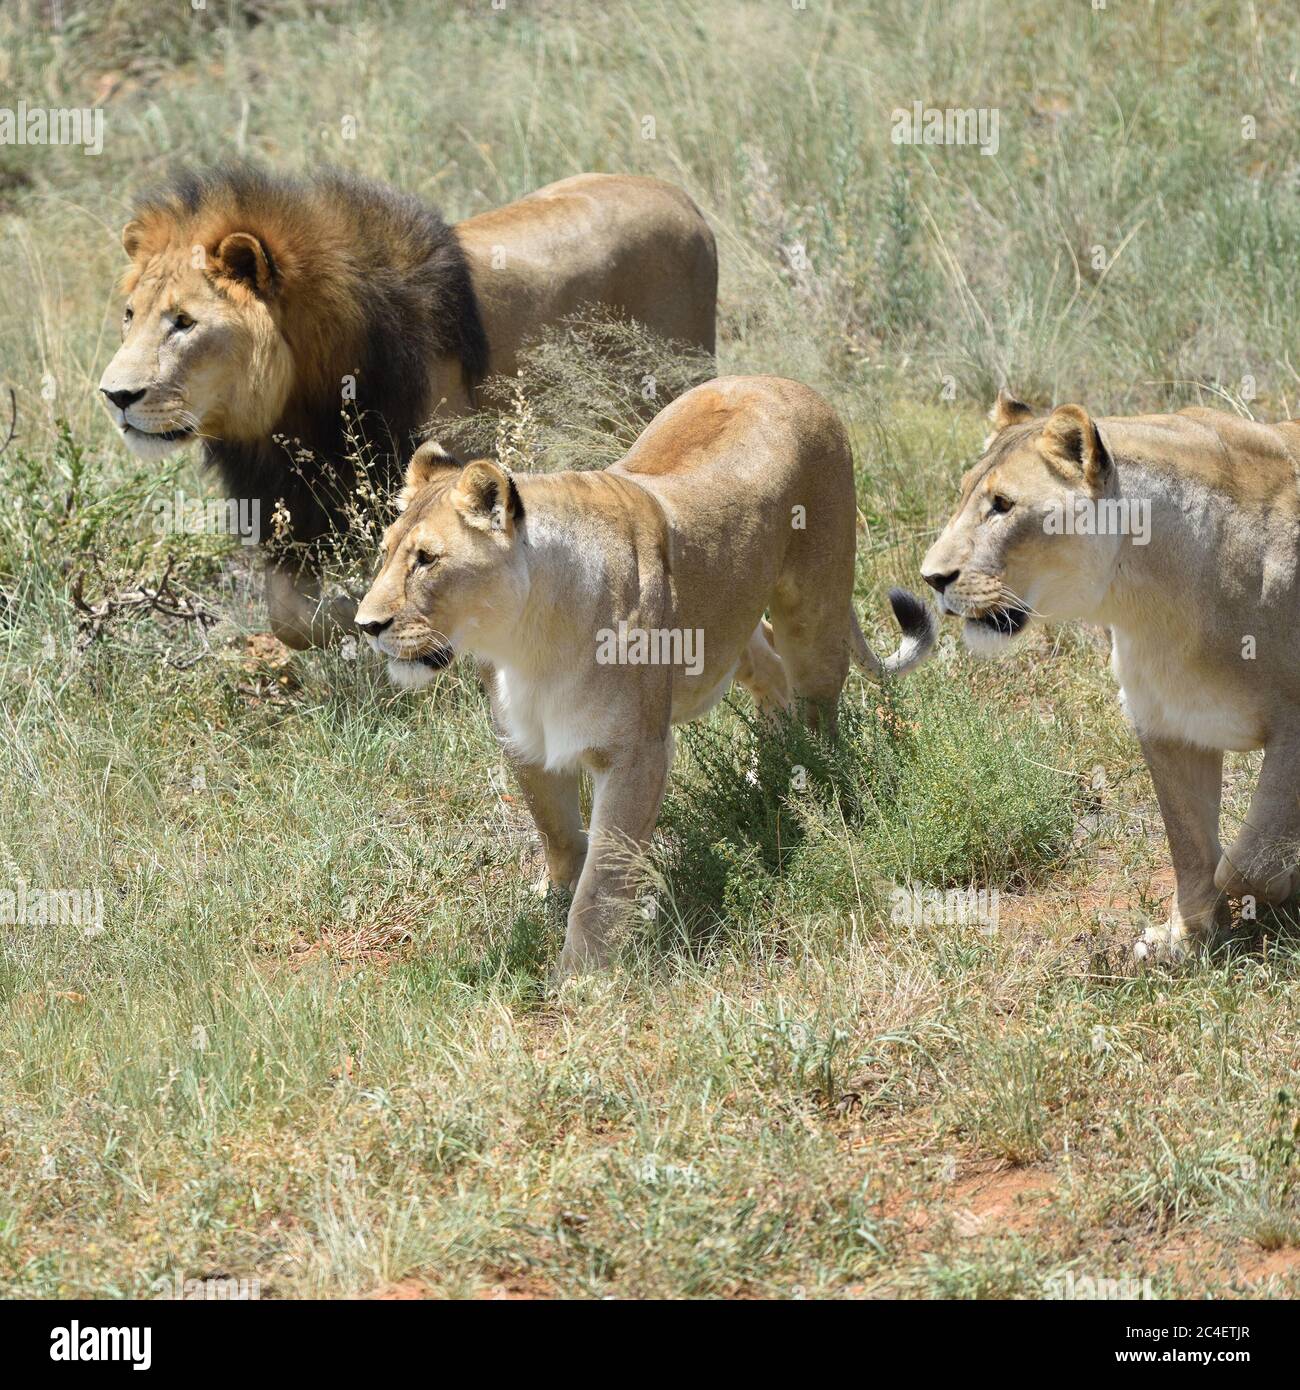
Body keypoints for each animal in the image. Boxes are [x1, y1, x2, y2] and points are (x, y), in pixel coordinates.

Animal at [97, 162, 717, 648]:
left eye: (184, 322)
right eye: (130, 315)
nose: (115, 396)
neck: (293, 405)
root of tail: (685, 201)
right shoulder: (293, 506)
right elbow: (291, 622)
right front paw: (349, 614)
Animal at [354, 375, 937, 975]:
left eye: (427, 559)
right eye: (386, 553)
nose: (365, 625)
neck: (527, 641)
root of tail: (785, 381)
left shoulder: (635, 753)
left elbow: (605, 877)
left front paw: (581, 975)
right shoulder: (522, 741)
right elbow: (557, 832)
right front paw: (550, 904)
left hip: (813, 611)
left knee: (818, 706)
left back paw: (813, 785)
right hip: (724, 627)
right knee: (772, 672)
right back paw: (767, 771)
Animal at [922, 389, 1300, 962]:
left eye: (1003, 505)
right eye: (963, 495)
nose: (932, 577)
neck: (1153, 600)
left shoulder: (1293, 729)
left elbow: (1247, 864)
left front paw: (1280, 887)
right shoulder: (1165, 724)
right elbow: (1189, 844)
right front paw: (1186, 940)